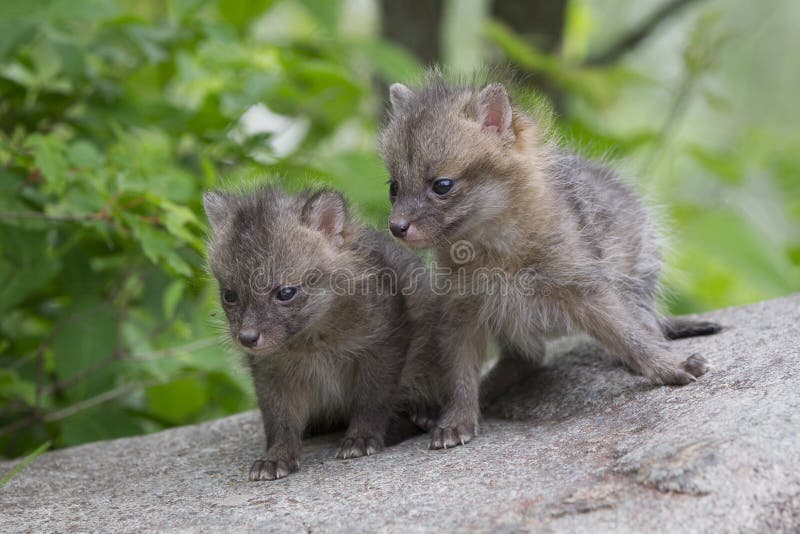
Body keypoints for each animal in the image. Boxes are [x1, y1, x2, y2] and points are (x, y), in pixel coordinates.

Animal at [203, 185, 448, 480]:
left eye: (286, 292)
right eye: (229, 295)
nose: (248, 338)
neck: (313, 344)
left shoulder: (383, 345)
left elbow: (371, 400)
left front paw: (361, 438)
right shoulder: (270, 371)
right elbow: (278, 420)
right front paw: (276, 458)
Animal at [379, 73, 722, 449]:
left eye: (442, 185)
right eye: (394, 187)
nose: (396, 227)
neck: (494, 249)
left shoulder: (585, 288)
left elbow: (628, 336)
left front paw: (666, 366)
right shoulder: (461, 310)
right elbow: (460, 375)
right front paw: (456, 419)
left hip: (635, 280)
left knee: (646, 325)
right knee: (528, 359)